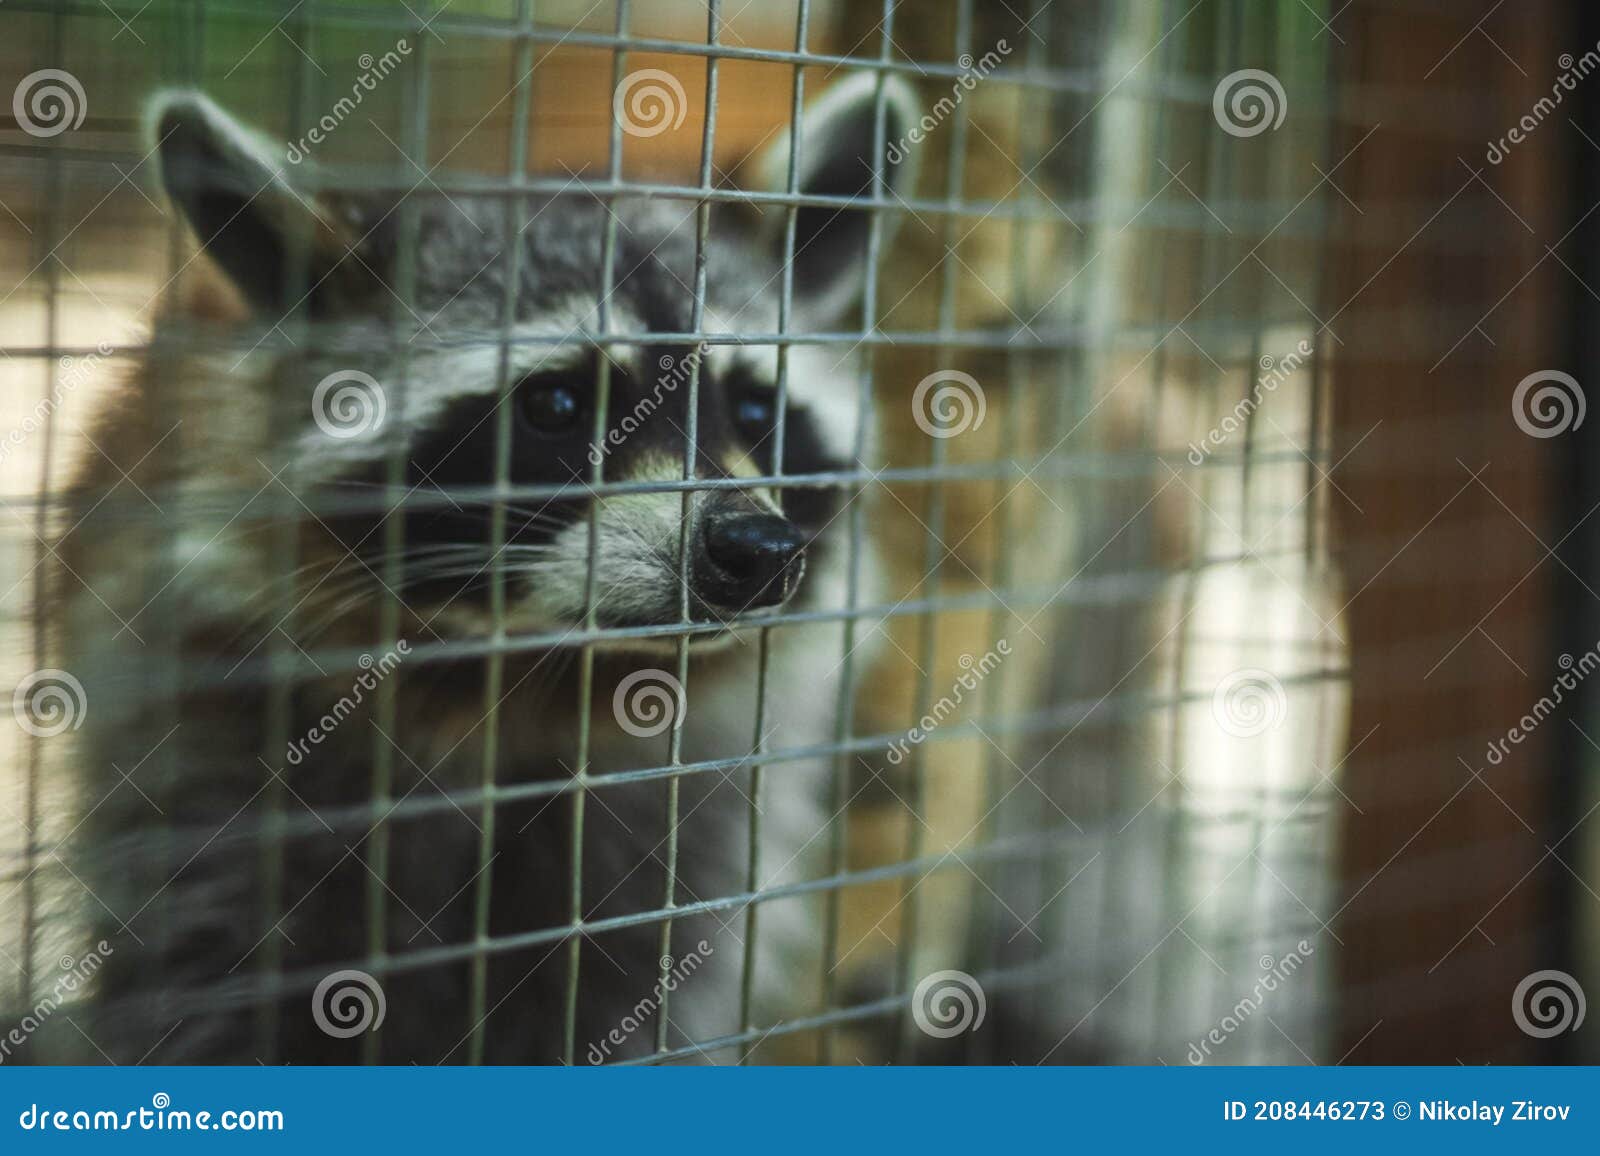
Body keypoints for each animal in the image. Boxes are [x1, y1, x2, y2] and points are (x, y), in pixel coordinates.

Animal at [53, 75, 919, 1063]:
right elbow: (201, 991)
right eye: (557, 405)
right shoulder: (200, 760)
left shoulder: (685, 820)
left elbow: (628, 997)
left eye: (751, 408)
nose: (755, 552)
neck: (531, 677)